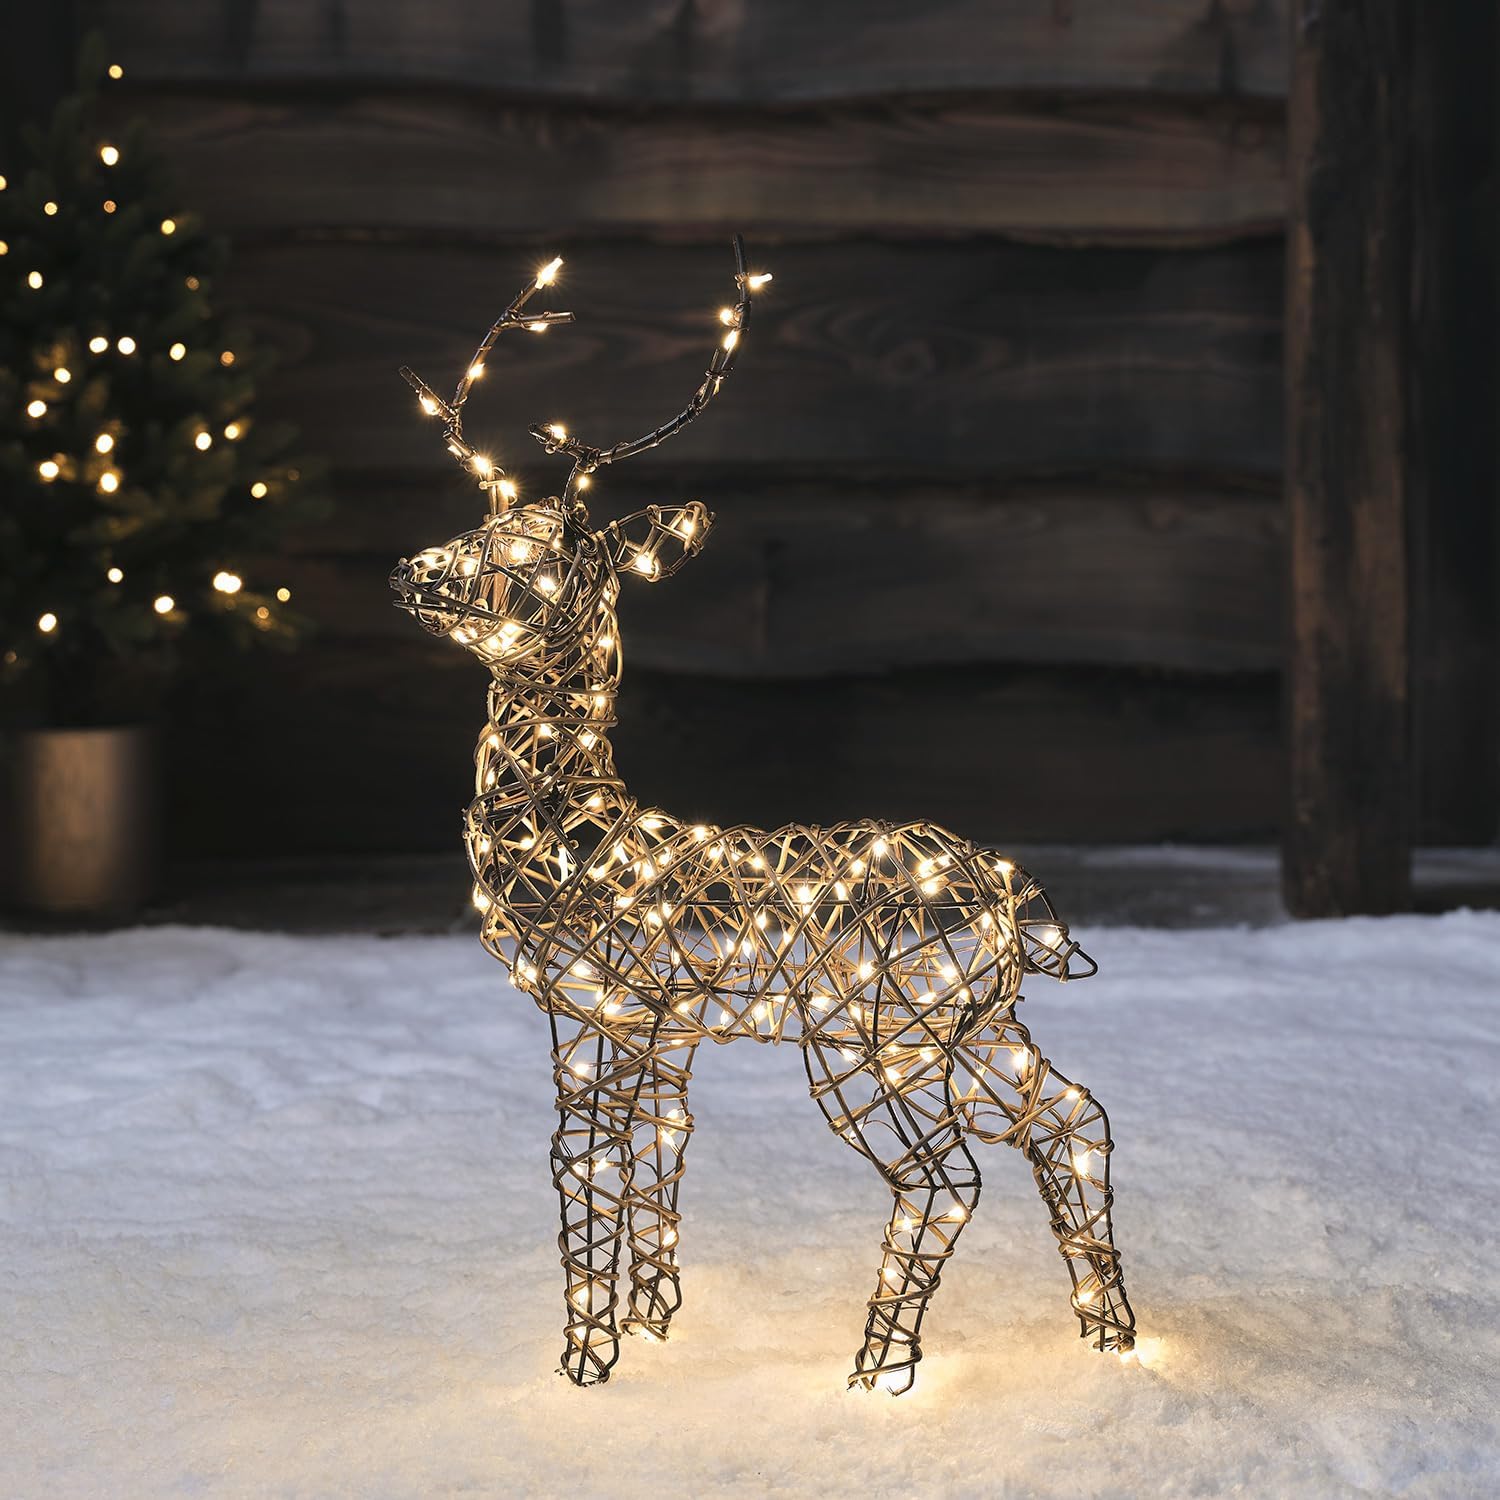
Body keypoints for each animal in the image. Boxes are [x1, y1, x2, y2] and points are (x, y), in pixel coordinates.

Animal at [389, 238, 1136, 1395]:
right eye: (483, 520)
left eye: (545, 547)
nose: (415, 570)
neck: (575, 829)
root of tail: (1017, 899)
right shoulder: (666, 1031)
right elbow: (659, 1148)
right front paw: (653, 1323)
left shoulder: (604, 1007)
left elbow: (582, 1162)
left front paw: (585, 1364)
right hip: (980, 1024)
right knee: (1071, 1116)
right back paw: (1112, 1337)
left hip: (874, 1034)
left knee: (947, 1176)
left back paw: (875, 1375)